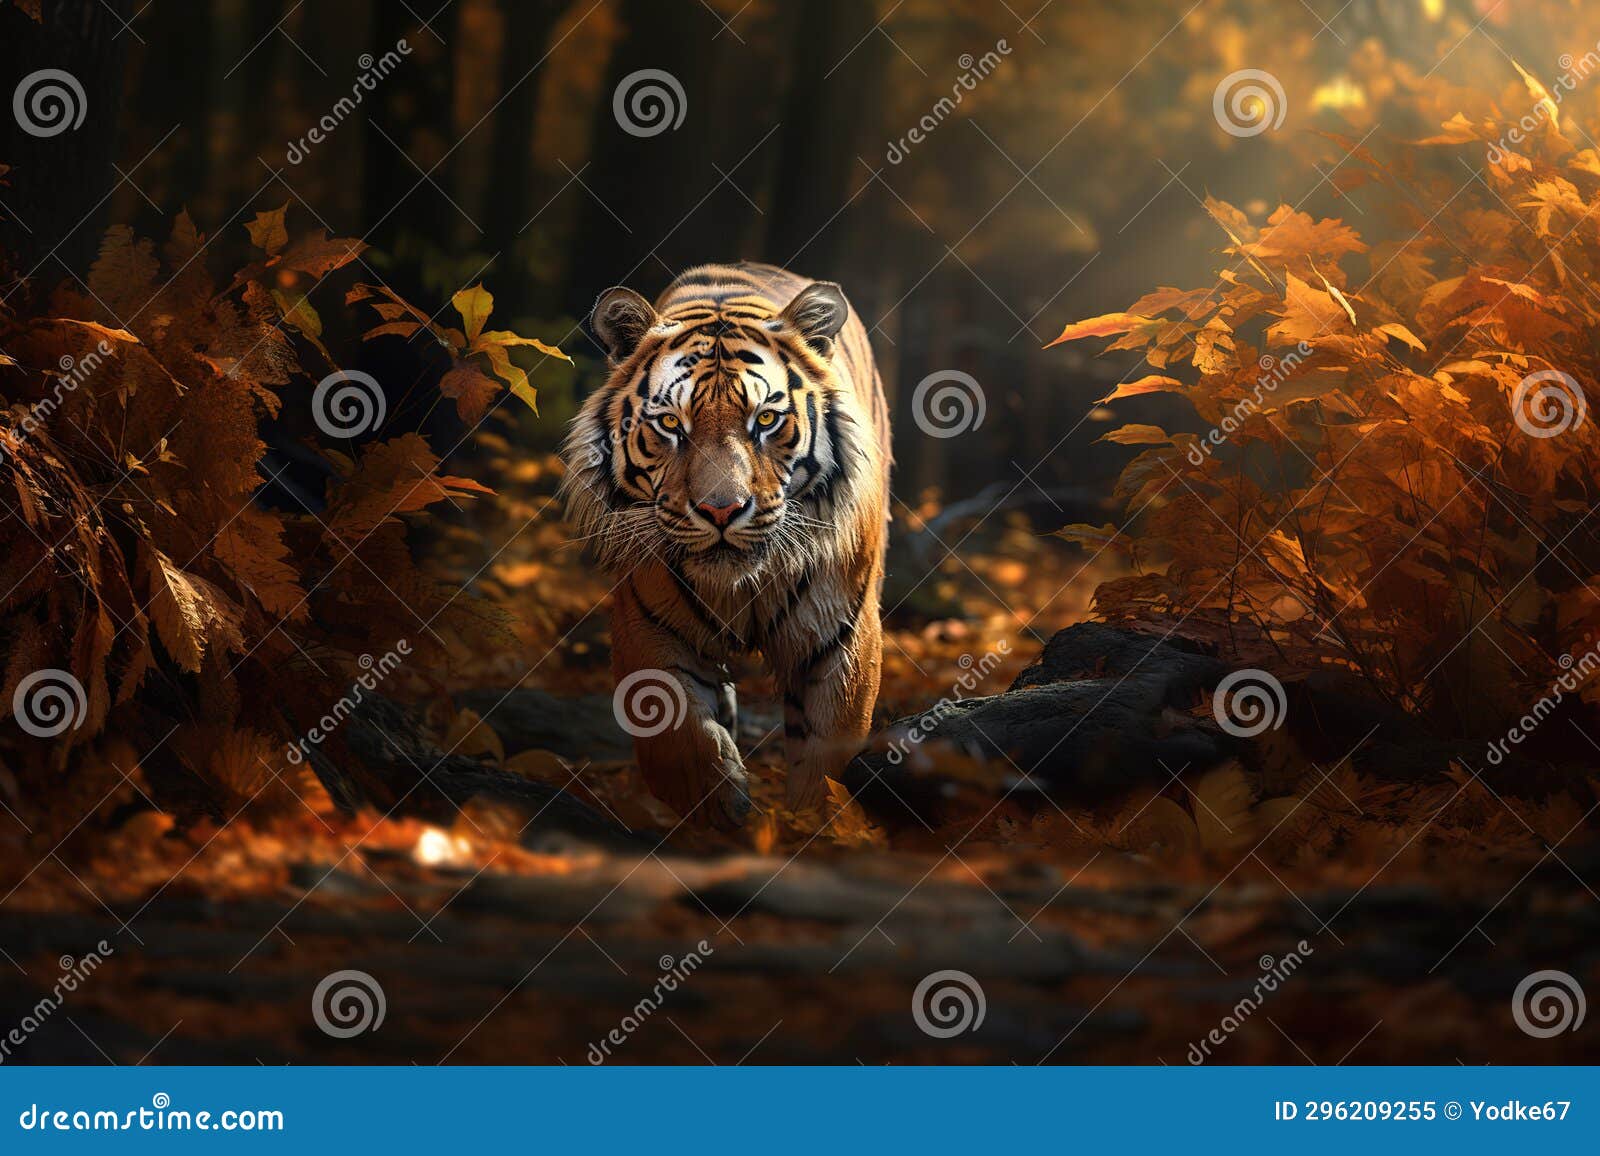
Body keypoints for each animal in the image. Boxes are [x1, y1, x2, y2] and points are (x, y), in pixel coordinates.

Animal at [560, 261, 891, 829]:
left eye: (766, 420)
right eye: (671, 423)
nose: (721, 510)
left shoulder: (841, 637)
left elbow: (826, 762)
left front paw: (816, 829)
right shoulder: (650, 628)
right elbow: (678, 743)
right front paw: (725, 813)